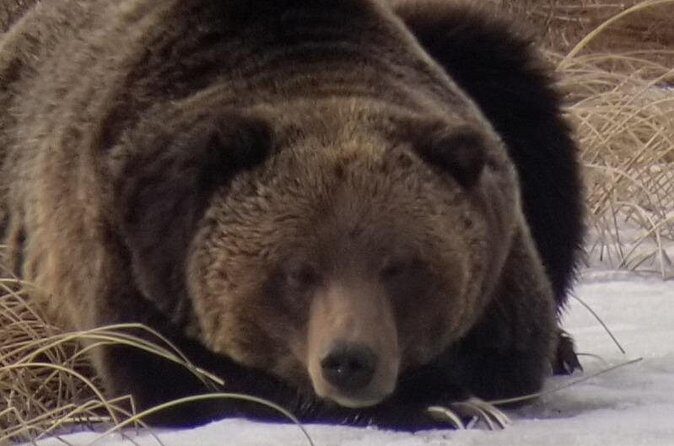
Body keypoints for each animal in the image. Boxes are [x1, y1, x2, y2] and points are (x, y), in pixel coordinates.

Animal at [0, 0, 583, 430]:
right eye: (298, 272)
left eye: (399, 266)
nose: (350, 361)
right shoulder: (129, 251)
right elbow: (181, 383)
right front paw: (441, 403)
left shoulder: (501, 262)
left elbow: (510, 357)